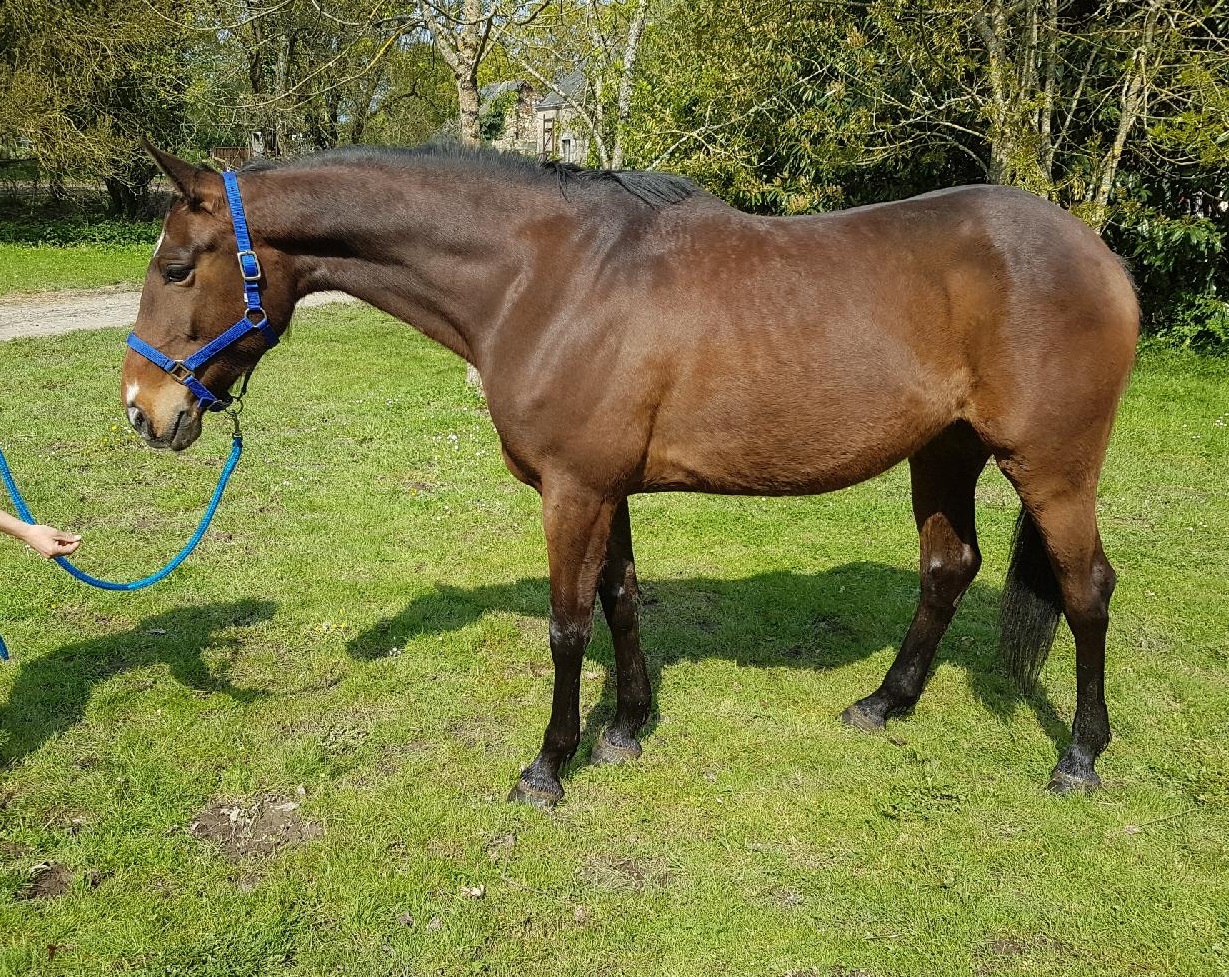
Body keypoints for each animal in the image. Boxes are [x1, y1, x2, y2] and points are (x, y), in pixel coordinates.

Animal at [123, 141, 1138, 807]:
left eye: (176, 267)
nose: (143, 409)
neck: (546, 279)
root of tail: (1098, 256)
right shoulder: (603, 488)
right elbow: (619, 598)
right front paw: (623, 728)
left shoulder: (572, 489)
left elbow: (567, 625)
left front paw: (547, 766)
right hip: (945, 451)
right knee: (947, 567)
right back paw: (884, 703)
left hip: (1050, 468)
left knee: (1086, 590)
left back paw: (1078, 757)